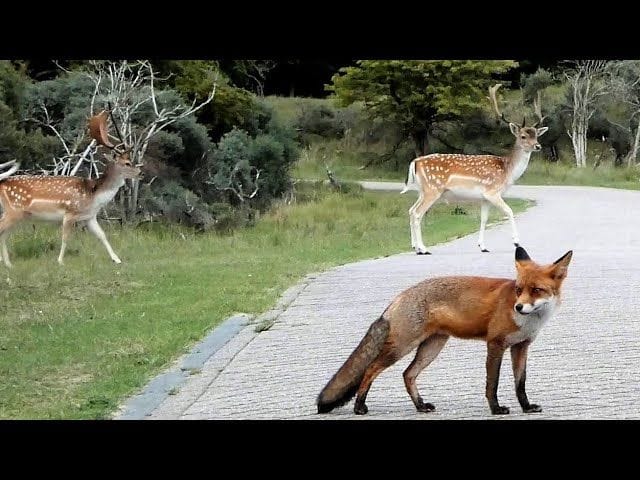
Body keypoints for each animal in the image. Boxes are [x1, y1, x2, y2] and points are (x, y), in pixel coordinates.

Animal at [0, 110, 141, 267]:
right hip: (14, 210)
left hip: (15, 214)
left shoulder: (89, 217)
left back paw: (7, 263)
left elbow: (102, 235)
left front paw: (116, 259)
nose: (140, 173)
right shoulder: (69, 213)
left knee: (4, 234)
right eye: (127, 163)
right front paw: (60, 261)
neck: (94, 197)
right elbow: (65, 238)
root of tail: (2, 182)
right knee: (1, 230)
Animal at [316, 246, 572, 416]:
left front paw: (526, 407)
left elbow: (521, 383)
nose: (519, 307)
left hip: (432, 347)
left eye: (536, 290)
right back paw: (359, 406)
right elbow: (493, 383)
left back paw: (420, 406)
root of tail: (399, 297)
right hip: (401, 347)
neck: (529, 321)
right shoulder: (495, 344)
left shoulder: (521, 346)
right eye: (519, 290)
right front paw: (496, 408)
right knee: (370, 369)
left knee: (407, 374)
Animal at [400, 84, 548, 255]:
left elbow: (484, 219)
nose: (538, 146)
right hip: (432, 189)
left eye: (536, 135)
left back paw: (415, 247)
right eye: (523, 136)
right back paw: (423, 249)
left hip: (422, 190)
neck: (507, 171)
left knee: (411, 210)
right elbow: (509, 211)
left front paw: (482, 246)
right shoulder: (492, 191)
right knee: (418, 213)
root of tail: (415, 162)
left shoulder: (485, 198)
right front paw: (516, 242)